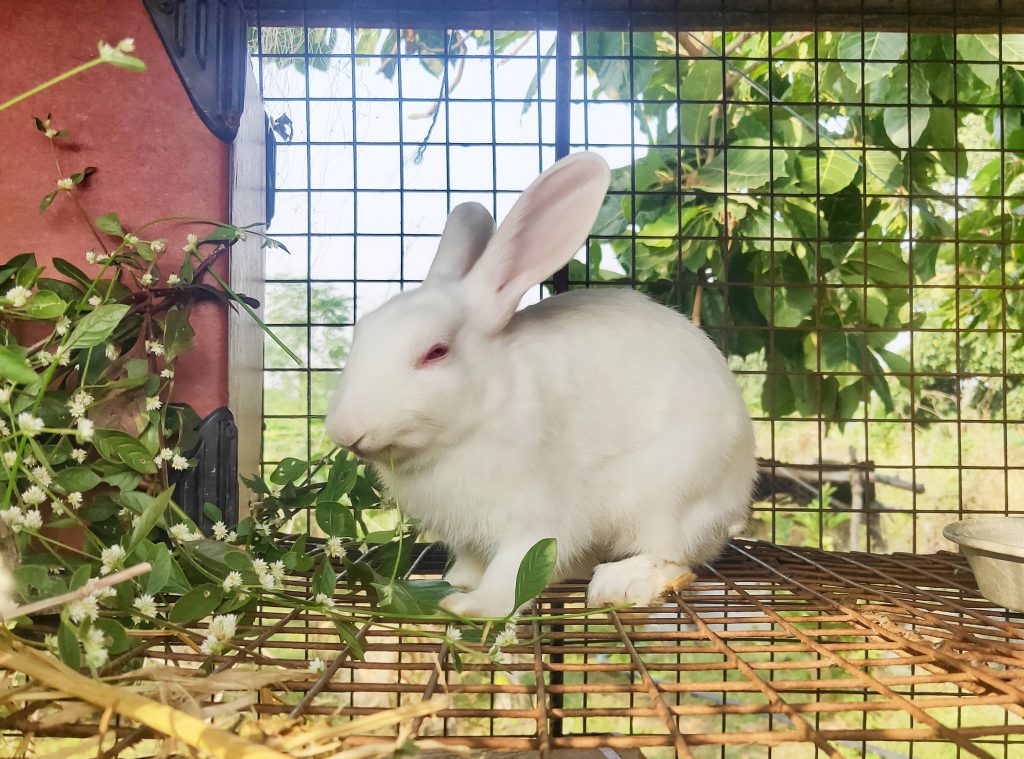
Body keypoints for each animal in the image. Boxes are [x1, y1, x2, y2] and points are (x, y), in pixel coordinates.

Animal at [324, 152, 757, 618]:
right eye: (362, 332)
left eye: (436, 352)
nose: (344, 430)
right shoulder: (467, 534)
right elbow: (471, 563)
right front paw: (453, 585)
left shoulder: (534, 517)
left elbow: (511, 573)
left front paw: (470, 607)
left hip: (668, 498)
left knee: (673, 556)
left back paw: (621, 584)